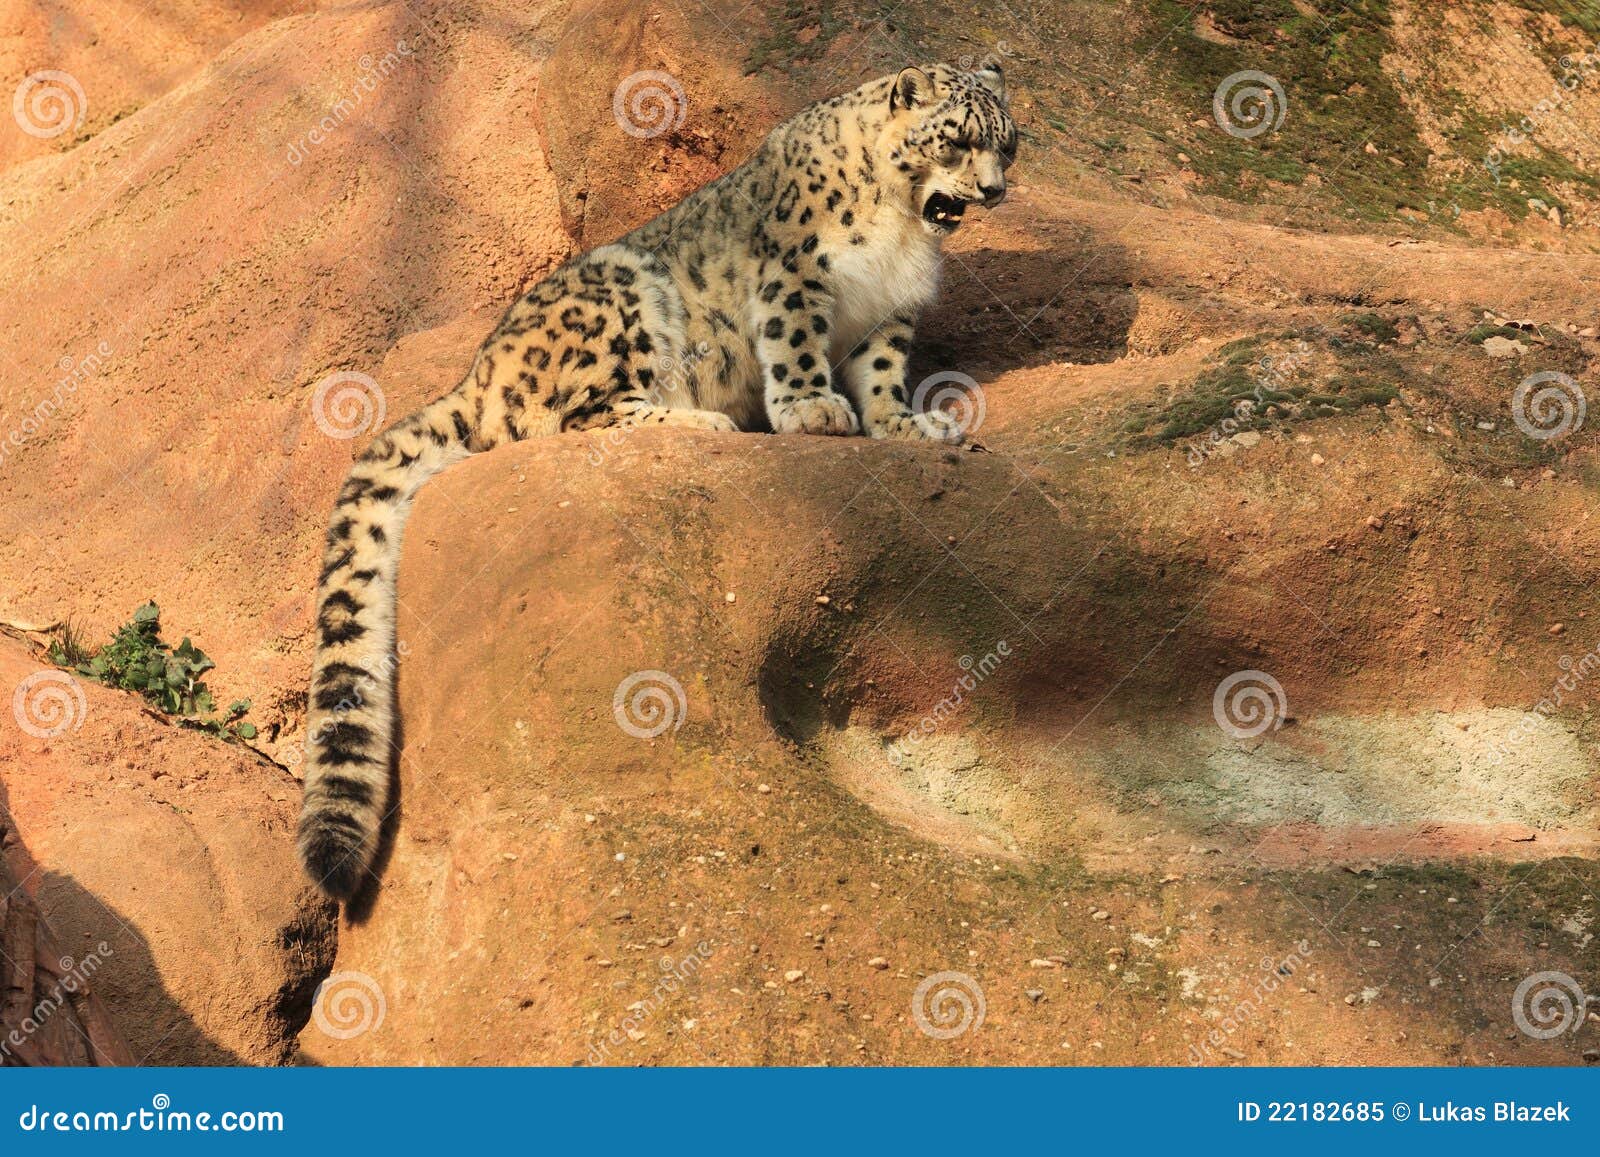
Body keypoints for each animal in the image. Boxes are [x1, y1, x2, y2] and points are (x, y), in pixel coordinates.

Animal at [297, 55, 1018, 901]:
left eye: (1008, 142)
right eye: (959, 137)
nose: (994, 191)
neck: (902, 222)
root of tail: (475, 374)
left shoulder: (888, 313)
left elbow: (880, 375)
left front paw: (908, 425)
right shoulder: (794, 274)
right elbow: (795, 342)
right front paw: (812, 408)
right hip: (621, 303)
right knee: (582, 416)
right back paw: (701, 420)